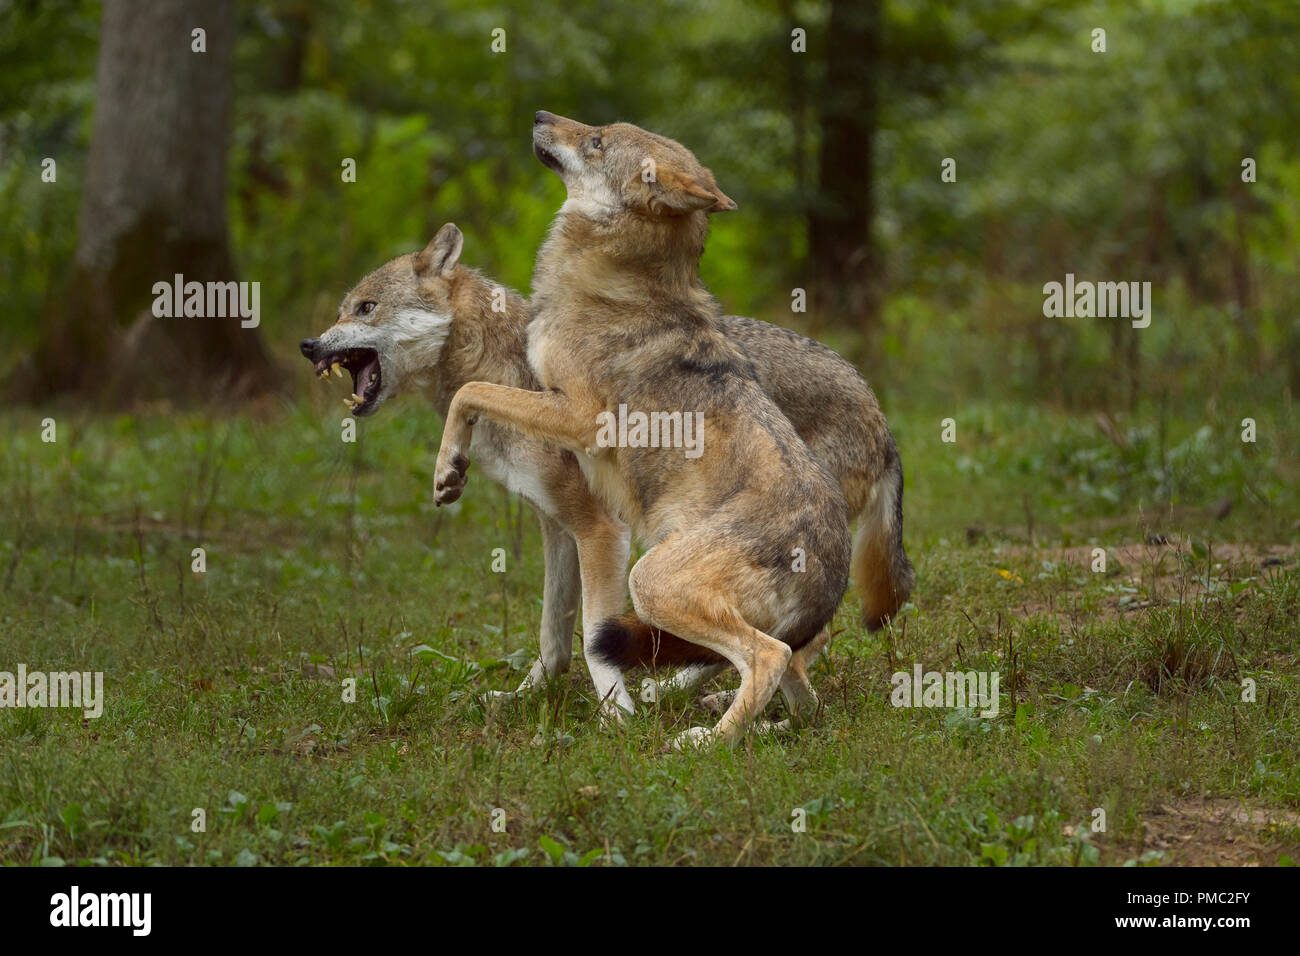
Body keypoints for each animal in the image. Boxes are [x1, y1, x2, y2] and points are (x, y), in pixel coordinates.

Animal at [428, 111, 865, 747]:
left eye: (597, 141)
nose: (539, 116)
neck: (616, 282)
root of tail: (834, 569)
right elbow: (475, 394)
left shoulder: (577, 415)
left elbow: (471, 392)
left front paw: (447, 471)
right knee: (806, 701)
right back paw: (745, 725)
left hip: (650, 582)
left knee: (769, 657)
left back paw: (701, 743)